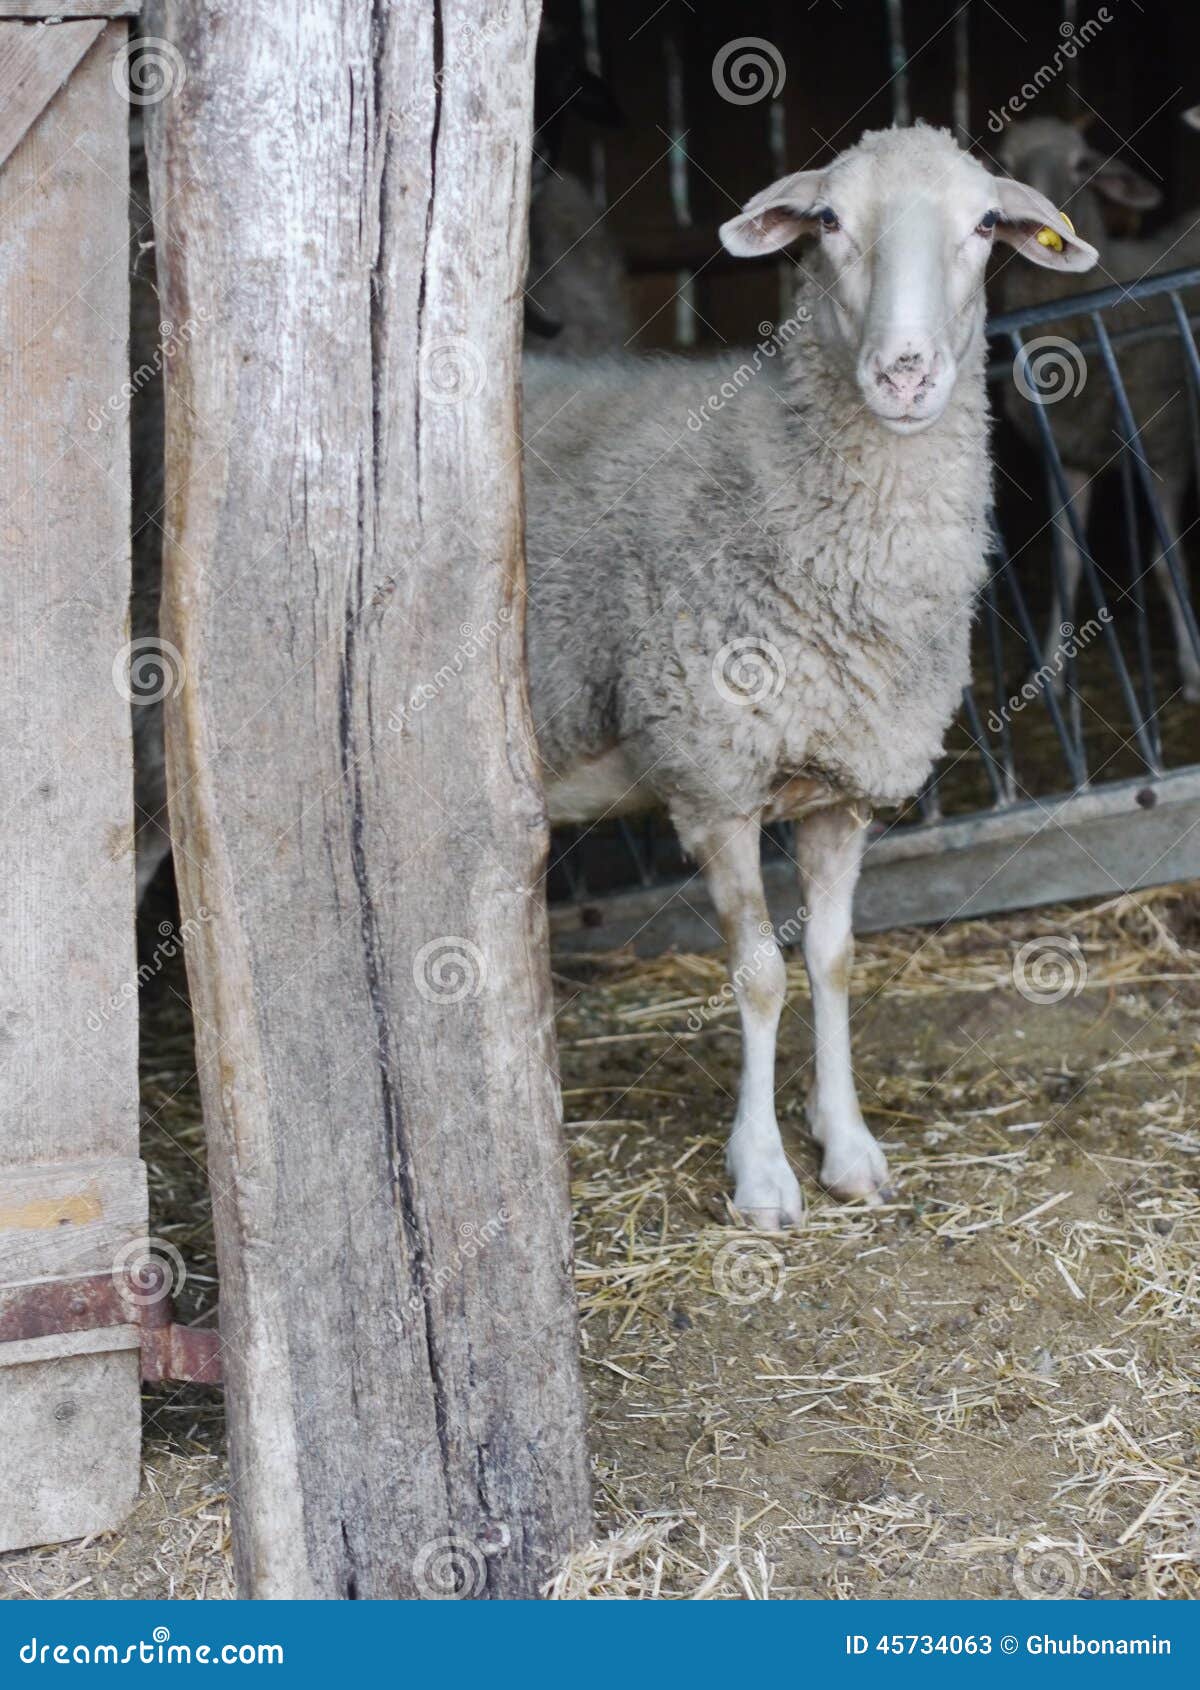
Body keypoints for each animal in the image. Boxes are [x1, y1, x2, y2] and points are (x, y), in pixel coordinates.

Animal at [524, 123, 1096, 1229]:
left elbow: (832, 962)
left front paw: (850, 1145)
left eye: (984, 224)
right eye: (829, 220)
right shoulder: (713, 775)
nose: (906, 375)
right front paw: (762, 1174)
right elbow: (757, 974)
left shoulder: (844, 786)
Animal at [994, 117, 1200, 700]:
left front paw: (1192, 671)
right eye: (1005, 165)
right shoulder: (1066, 457)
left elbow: (1166, 561)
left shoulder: (1166, 448)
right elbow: (1066, 564)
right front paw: (1047, 673)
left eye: (1081, 164)